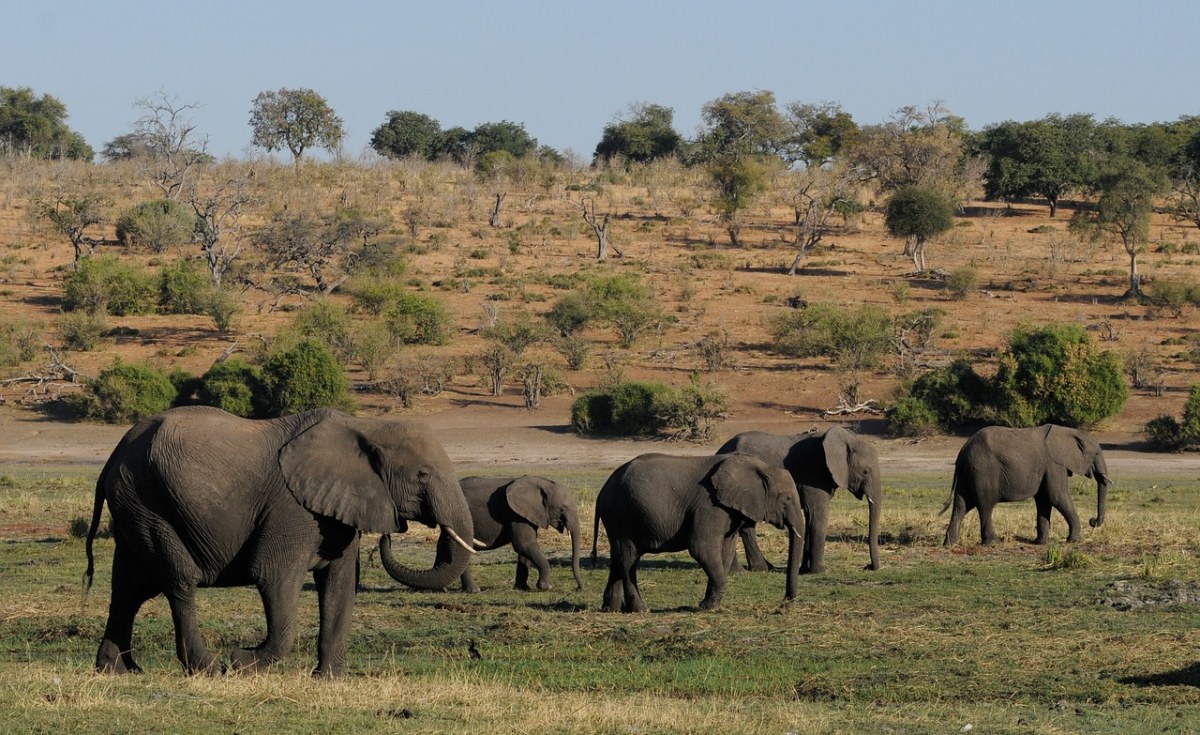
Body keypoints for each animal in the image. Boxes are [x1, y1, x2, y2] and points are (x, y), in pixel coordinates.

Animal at [83, 405, 475, 677]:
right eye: (422, 474)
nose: (393, 532)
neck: (365, 426)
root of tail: (114, 455)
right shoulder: (291, 509)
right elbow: (274, 576)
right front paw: (241, 662)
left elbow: (340, 585)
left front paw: (327, 680)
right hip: (147, 502)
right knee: (178, 581)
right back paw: (208, 669)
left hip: (134, 507)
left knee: (128, 587)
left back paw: (118, 671)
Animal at [442, 475, 584, 593]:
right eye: (562, 509)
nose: (578, 588)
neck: (543, 484)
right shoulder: (515, 514)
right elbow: (524, 544)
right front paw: (547, 587)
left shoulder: (527, 514)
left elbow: (525, 549)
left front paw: (522, 588)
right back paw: (473, 591)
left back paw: (443, 588)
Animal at [591, 452, 802, 612]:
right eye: (787, 498)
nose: (783, 605)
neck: (761, 466)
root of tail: (602, 491)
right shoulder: (710, 506)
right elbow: (701, 548)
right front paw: (706, 607)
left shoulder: (729, 509)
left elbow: (725, 552)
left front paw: (710, 606)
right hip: (622, 514)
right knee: (628, 559)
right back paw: (640, 609)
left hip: (617, 517)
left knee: (617, 556)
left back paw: (611, 609)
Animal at [716, 427, 881, 574]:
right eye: (865, 472)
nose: (868, 567)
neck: (847, 440)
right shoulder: (813, 474)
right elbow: (818, 515)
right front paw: (818, 572)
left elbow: (809, 517)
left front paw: (804, 570)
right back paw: (750, 570)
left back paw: (757, 569)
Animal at [942, 423, 1110, 546]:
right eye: (1096, 454)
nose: (1092, 521)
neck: (1069, 431)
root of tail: (963, 451)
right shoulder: (1054, 464)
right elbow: (1057, 496)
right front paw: (1072, 540)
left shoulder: (1047, 467)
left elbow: (1044, 500)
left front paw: (1040, 543)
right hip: (983, 469)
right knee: (986, 505)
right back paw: (994, 543)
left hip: (969, 471)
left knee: (961, 505)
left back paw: (950, 544)